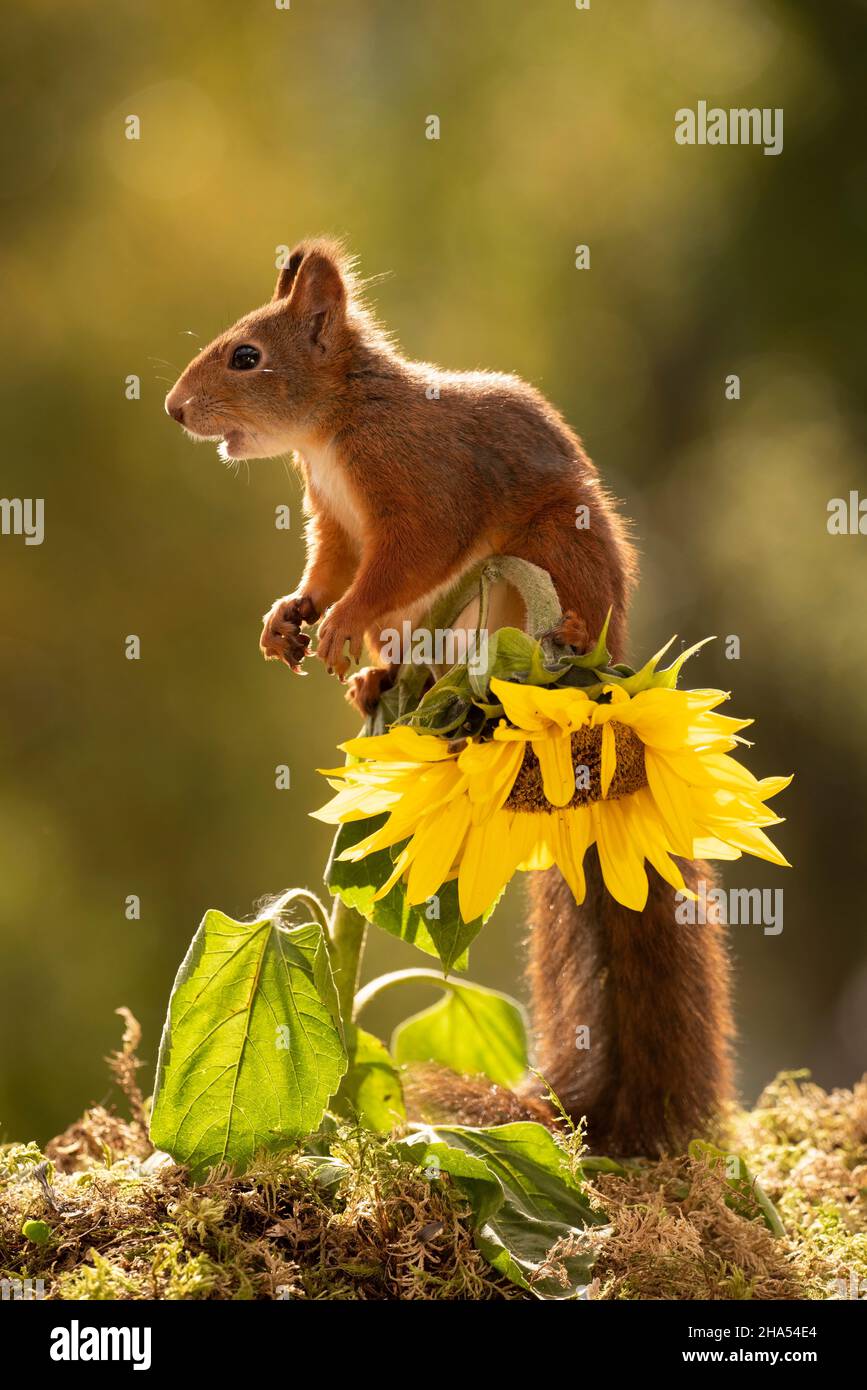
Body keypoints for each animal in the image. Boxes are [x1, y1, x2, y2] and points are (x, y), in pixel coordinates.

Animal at [165, 238, 734, 1156]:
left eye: (245, 356)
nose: (176, 410)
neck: (336, 426)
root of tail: (606, 660)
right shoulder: (335, 519)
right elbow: (328, 568)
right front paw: (291, 617)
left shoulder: (419, 488)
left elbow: (402, 560)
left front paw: (341, 623)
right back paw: (382, 680)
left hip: (542, 562)